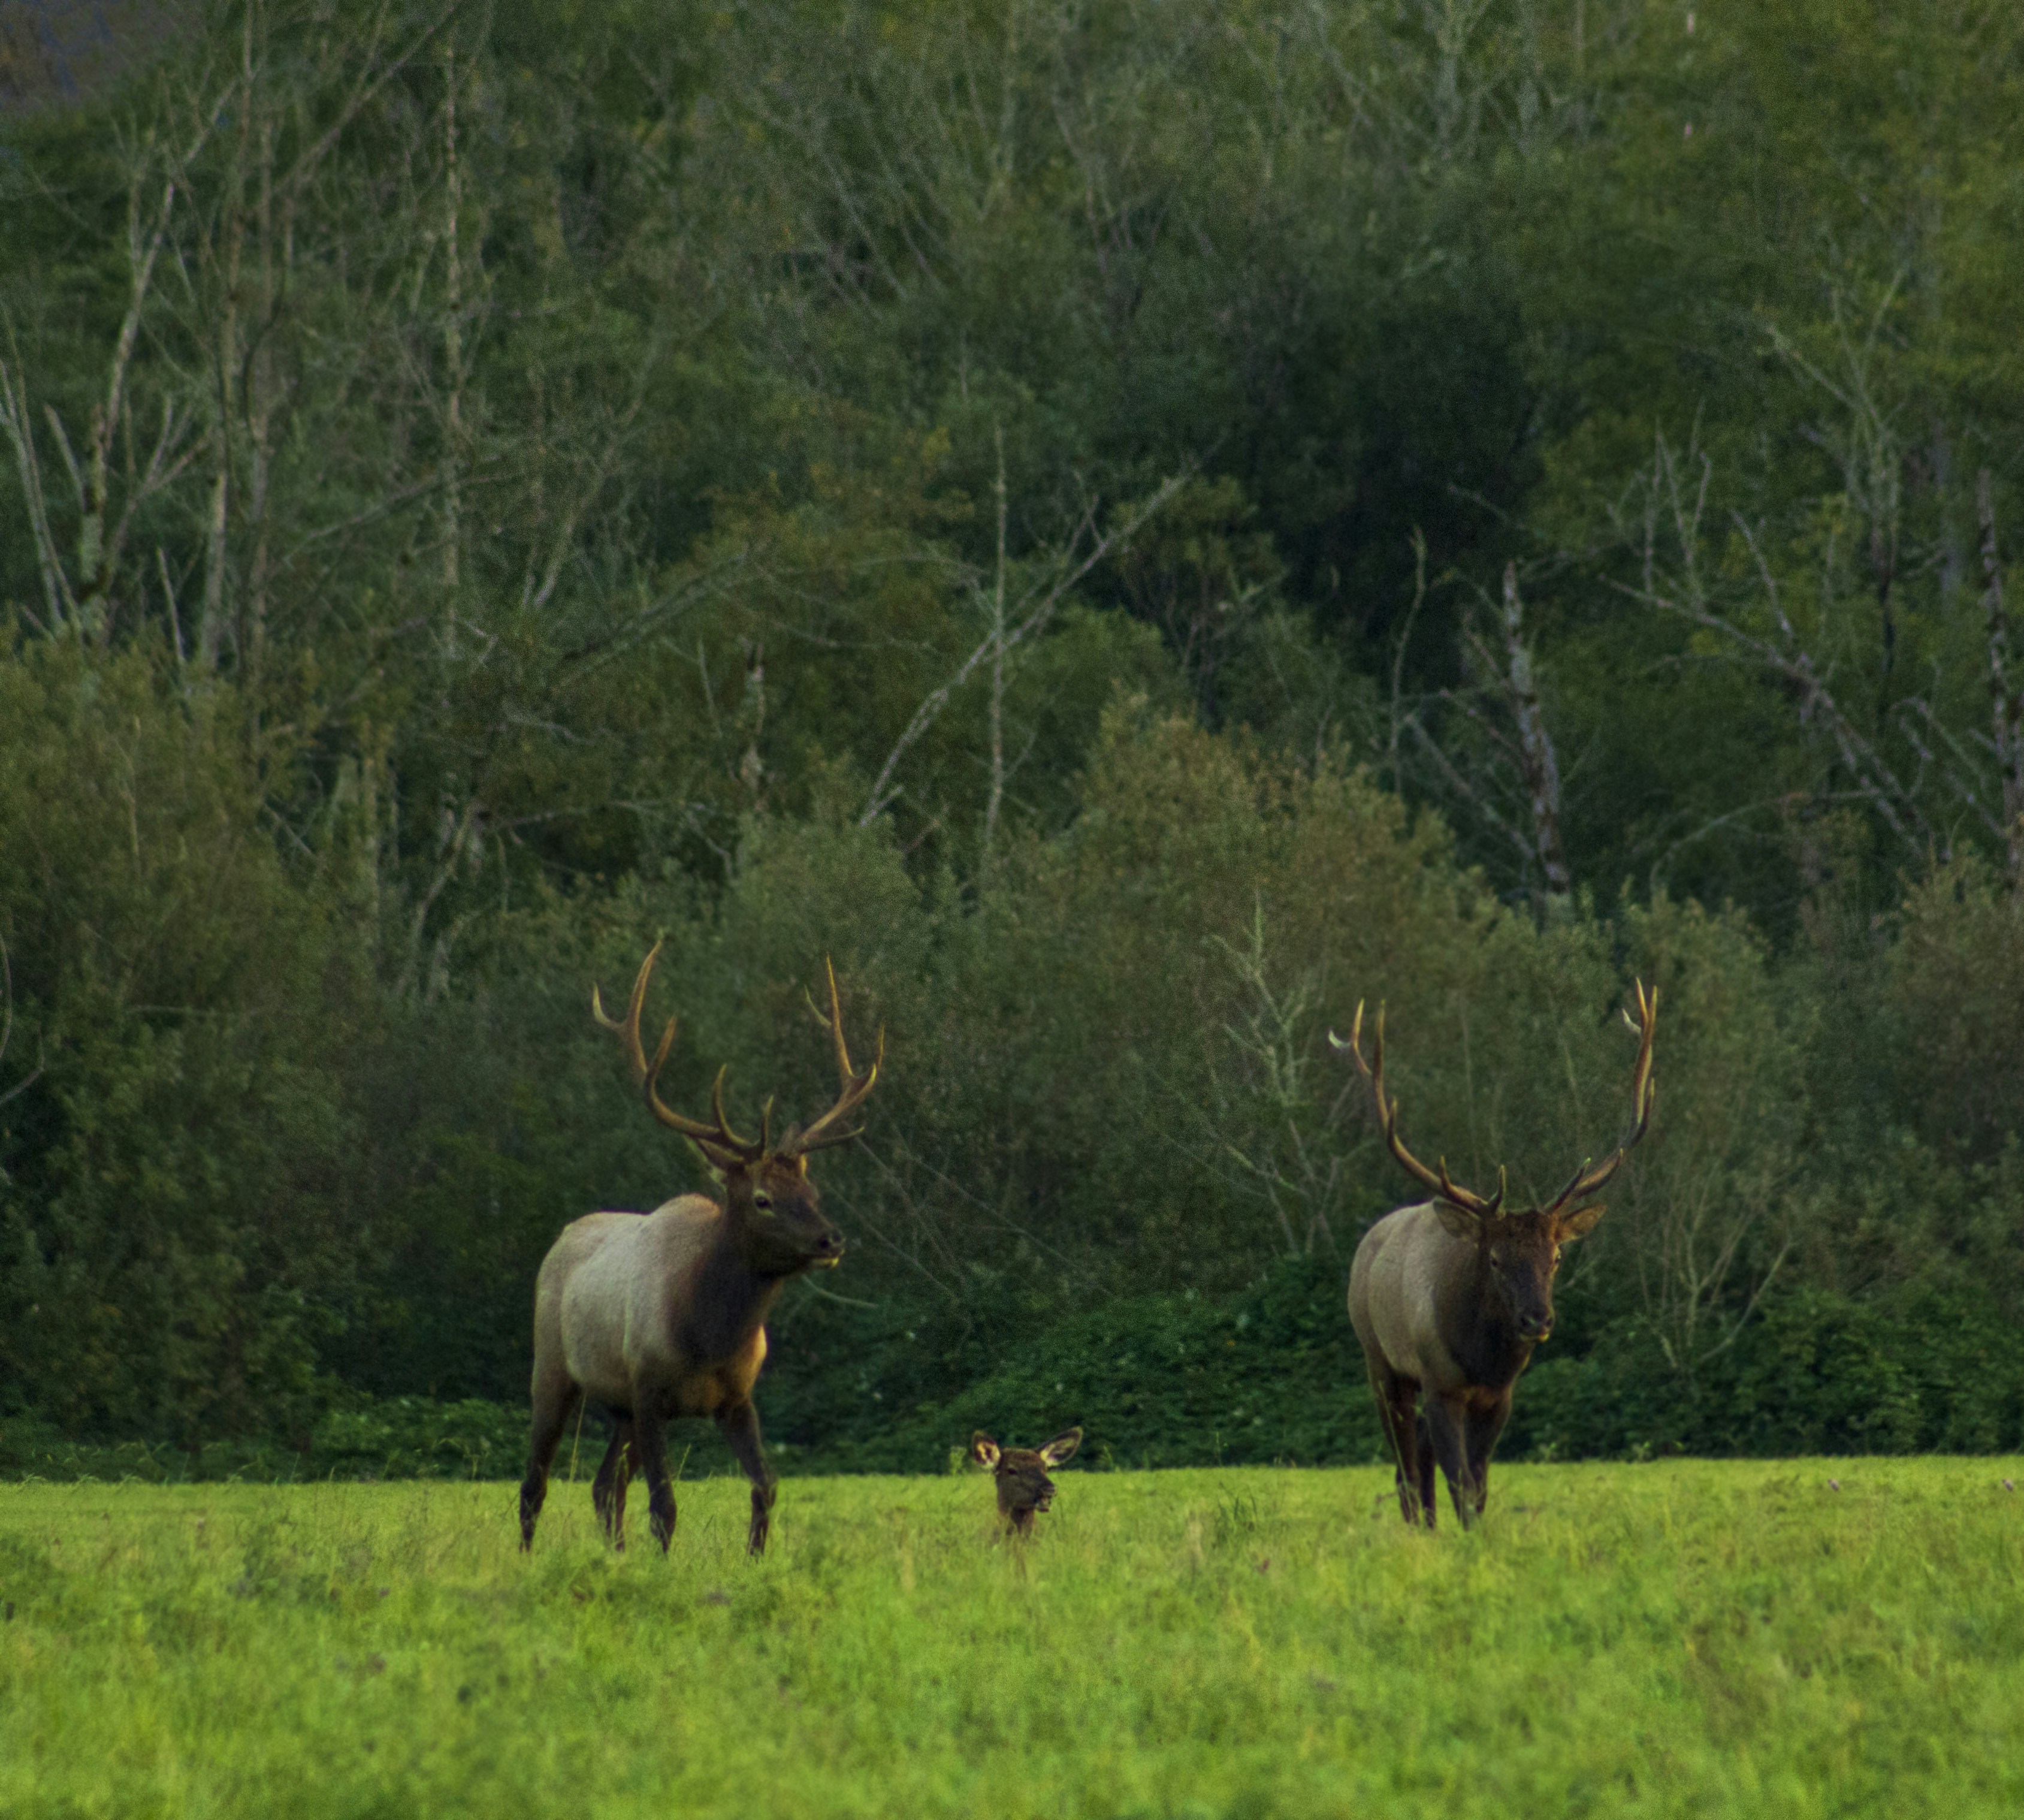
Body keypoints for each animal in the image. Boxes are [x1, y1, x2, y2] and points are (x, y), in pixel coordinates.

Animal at [518, 941, 880, 1557]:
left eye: (811, 1192)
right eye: (762, 1198)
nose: (831, 1239)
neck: (708, 1335)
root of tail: (563, 1235)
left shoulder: (736, 1398)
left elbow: (766, 1486)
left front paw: (756, 1559)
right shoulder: (648, 1389)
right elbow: (665, 1504)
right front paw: (665, 1566)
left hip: (618, 1407)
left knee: (603, 1486)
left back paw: (617, 1556)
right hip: (554, 1369)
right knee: (536, 1483)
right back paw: (528, 1555)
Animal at [1329, 983, 1657, 1529]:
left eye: (1556, 1256)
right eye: (1496, 1259)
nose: (1537, 1319)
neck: (1482, 1361)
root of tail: (1366, 1245)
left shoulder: (1500, 1397)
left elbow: (1478, 1484)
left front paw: (1475, 1533)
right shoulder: (1440, 1385)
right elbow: (1460, 1479)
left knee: (1416, 1460)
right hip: (1380, 1361)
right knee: (1405, 1465)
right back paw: (1418, 1528)